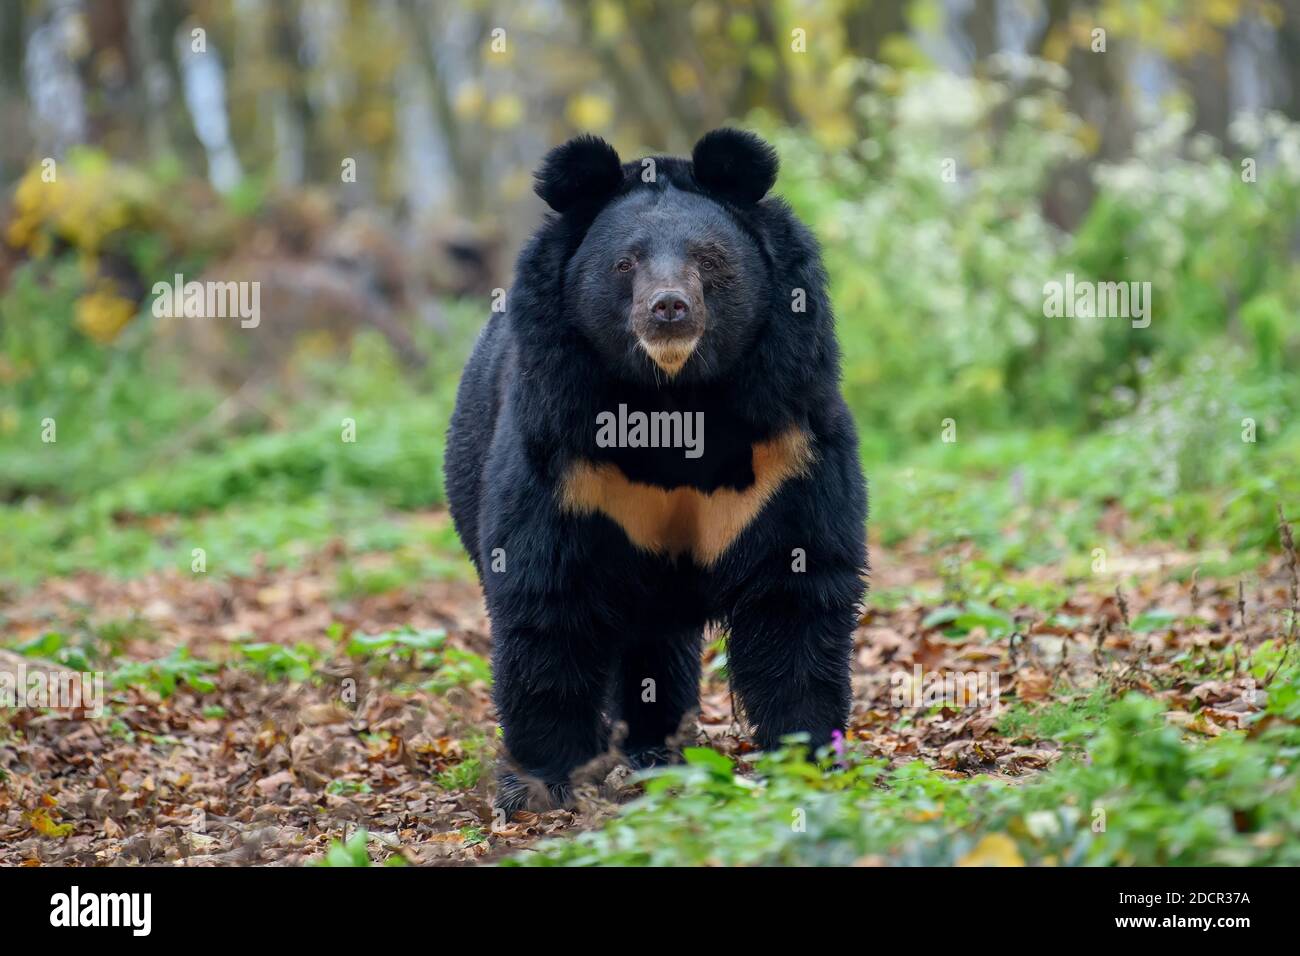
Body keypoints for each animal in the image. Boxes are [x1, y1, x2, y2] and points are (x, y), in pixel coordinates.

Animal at [444, 128, 867, 815]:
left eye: (710, 259)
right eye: (625, 263)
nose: (669, 308)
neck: (674, 401)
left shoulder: (787, 439)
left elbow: (796, 587)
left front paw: (807, 755)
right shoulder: (564, 451)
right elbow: (548, 596)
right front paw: (540, 785)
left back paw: (660, 752)